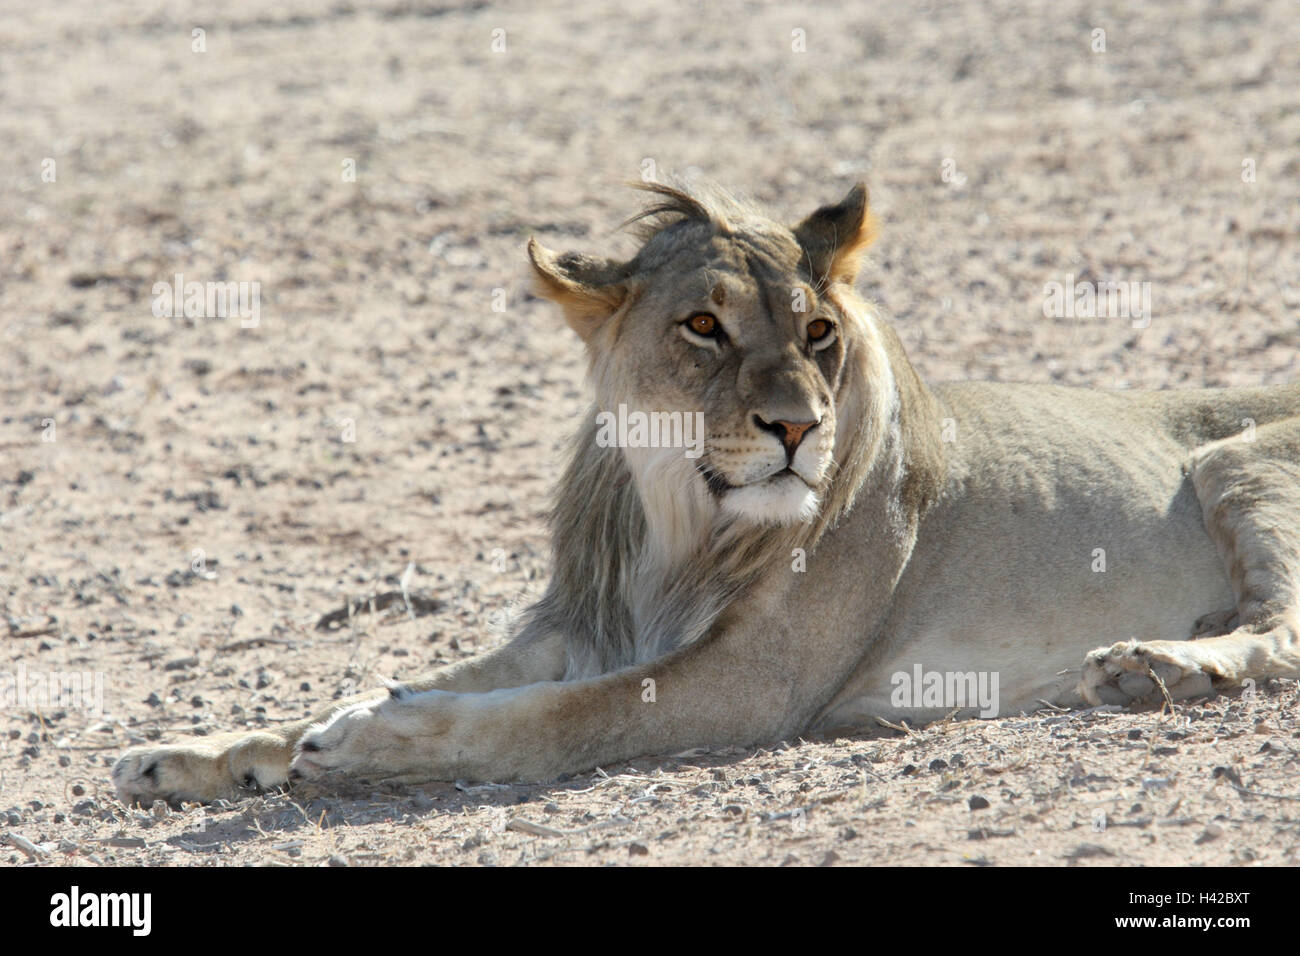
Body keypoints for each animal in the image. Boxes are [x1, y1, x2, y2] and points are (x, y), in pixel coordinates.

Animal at [113, 180, 1300, 806]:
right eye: (702, 326)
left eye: (817, 332)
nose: (797, 427)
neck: (676, 521)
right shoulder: (586, 626)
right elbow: (421, 683)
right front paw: (199, 750)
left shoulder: (753, 680)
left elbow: (554, 717)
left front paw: (367, 739)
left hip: (1231, 462)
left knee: (1280, 633)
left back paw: (1156, 664)